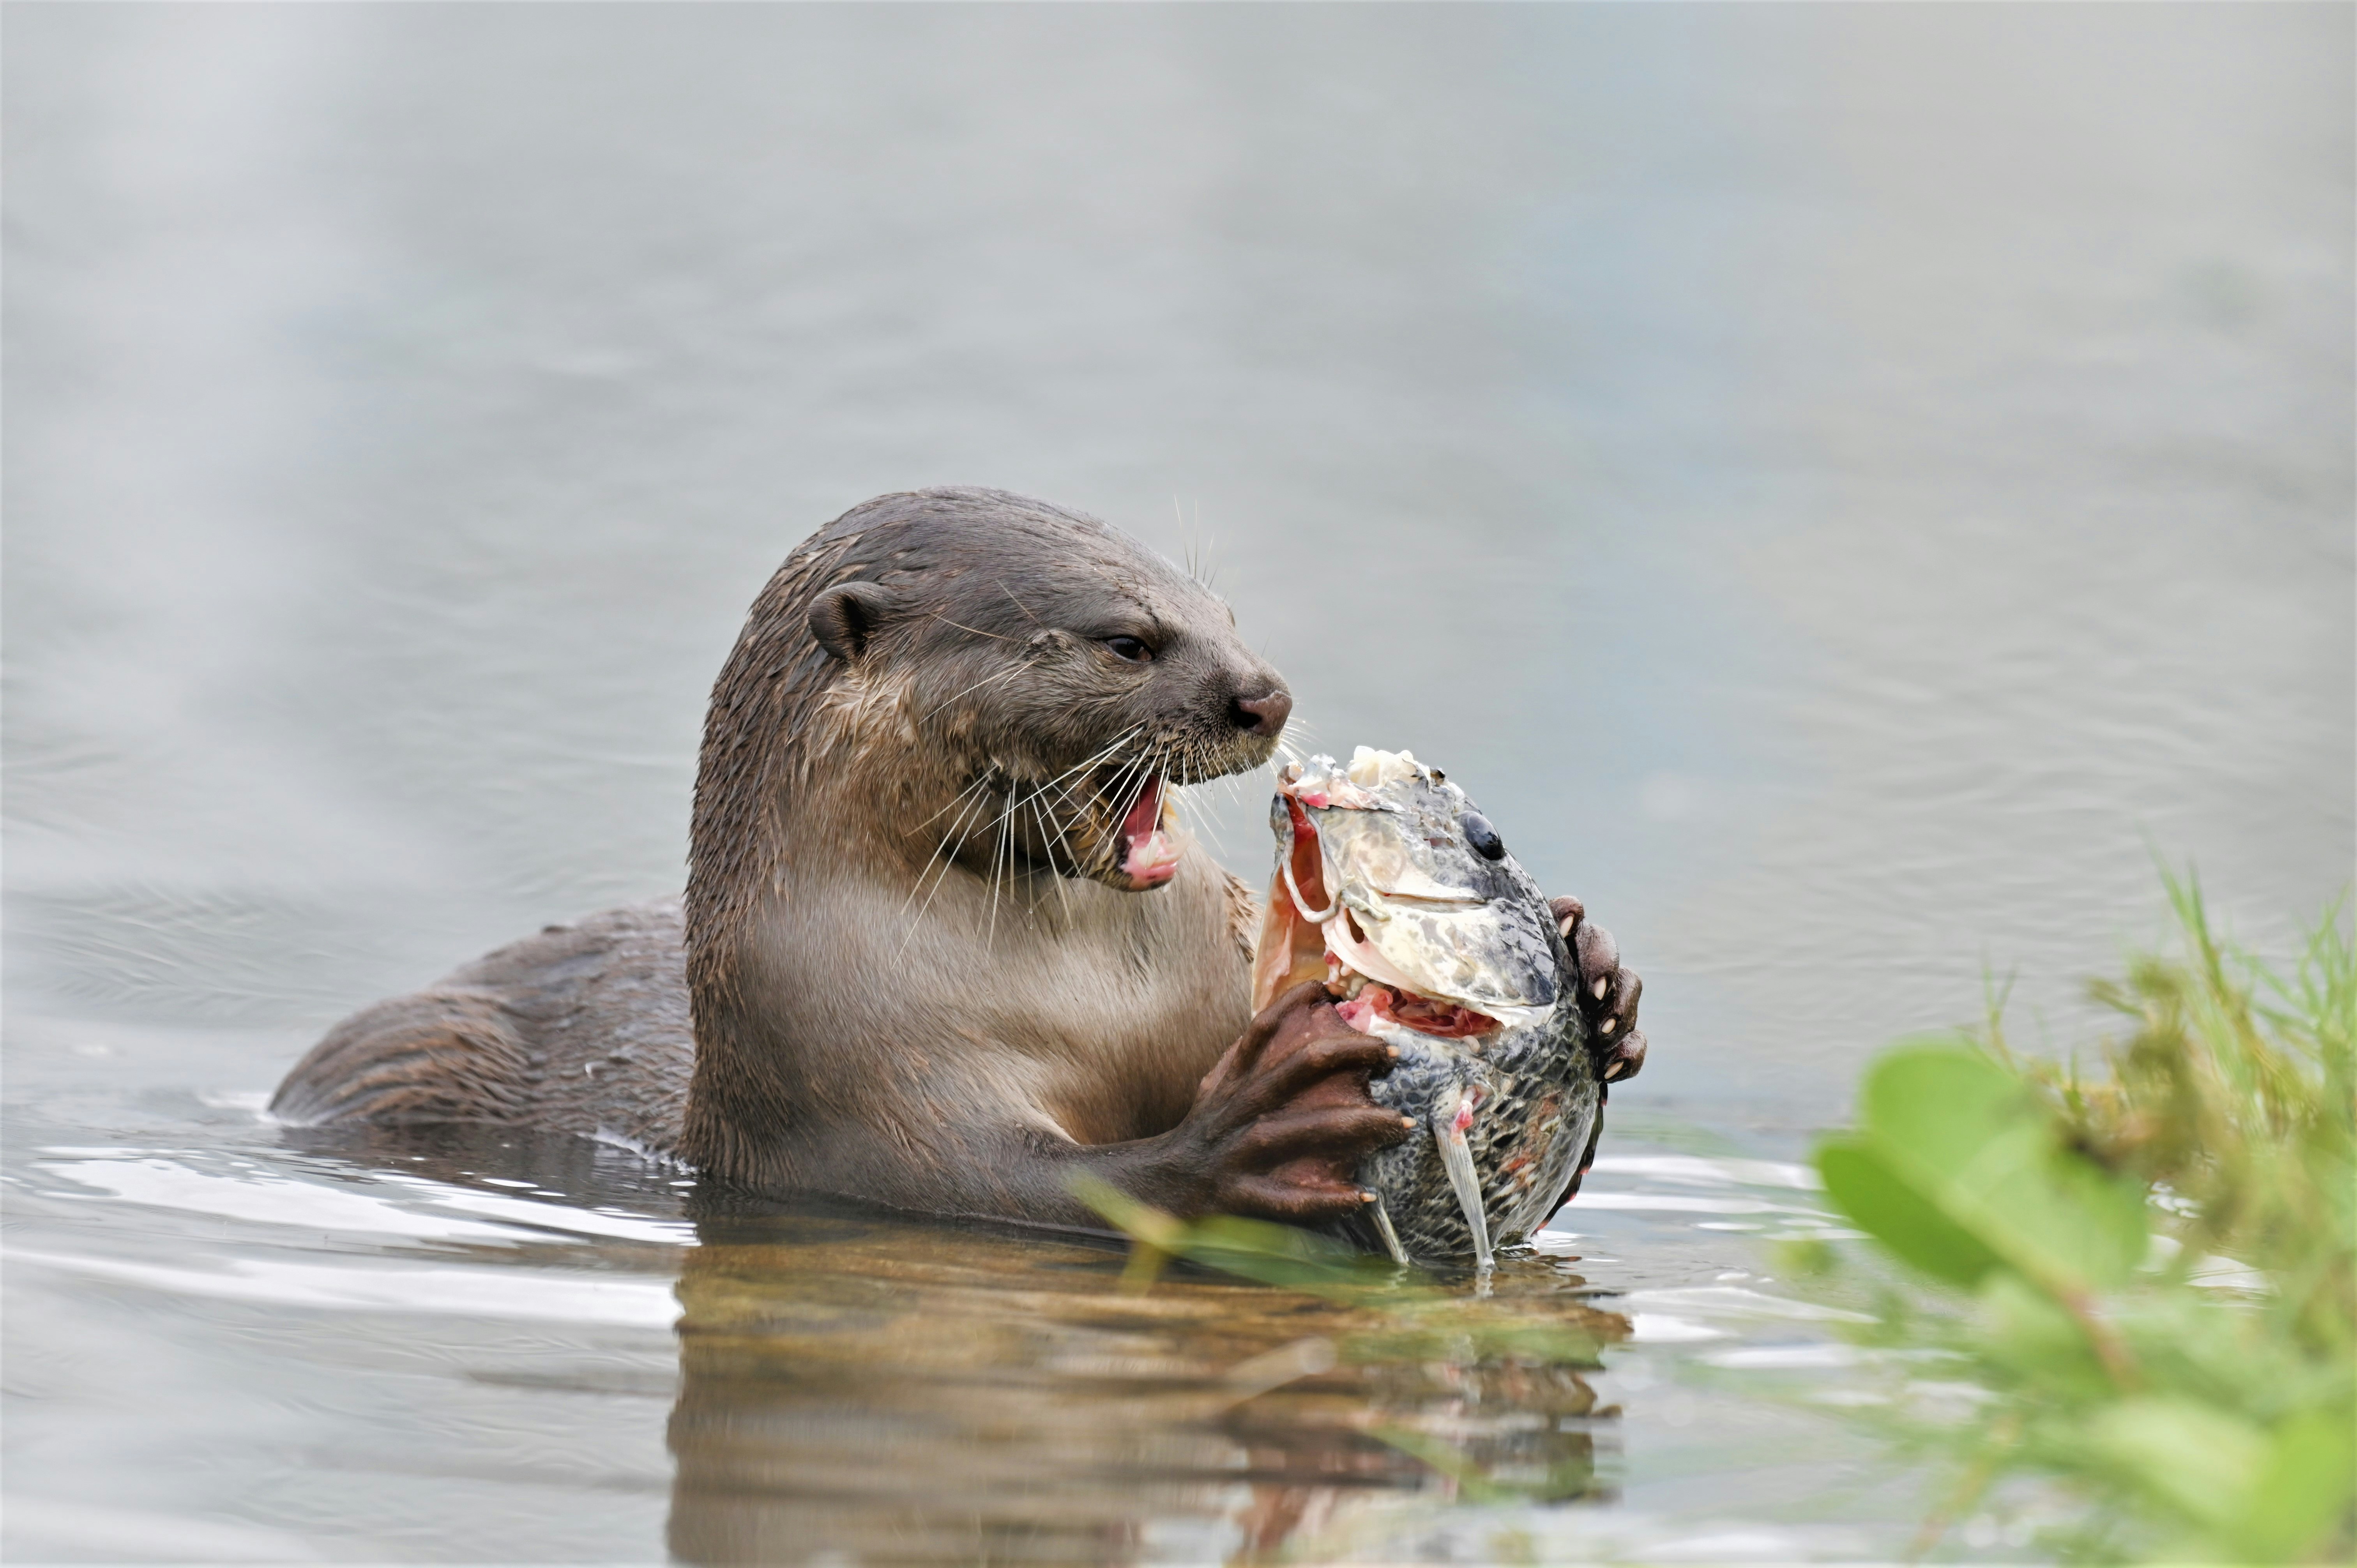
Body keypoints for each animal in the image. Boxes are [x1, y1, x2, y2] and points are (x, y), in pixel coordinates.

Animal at [273, 488, 1645, 1228]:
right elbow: (999, 1183)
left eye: (1225, 613)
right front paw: (1245, 1141)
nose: (1264, 693)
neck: (1093, 1004)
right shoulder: (835, 1071)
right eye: (1127, 641)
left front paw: (1597, 976)